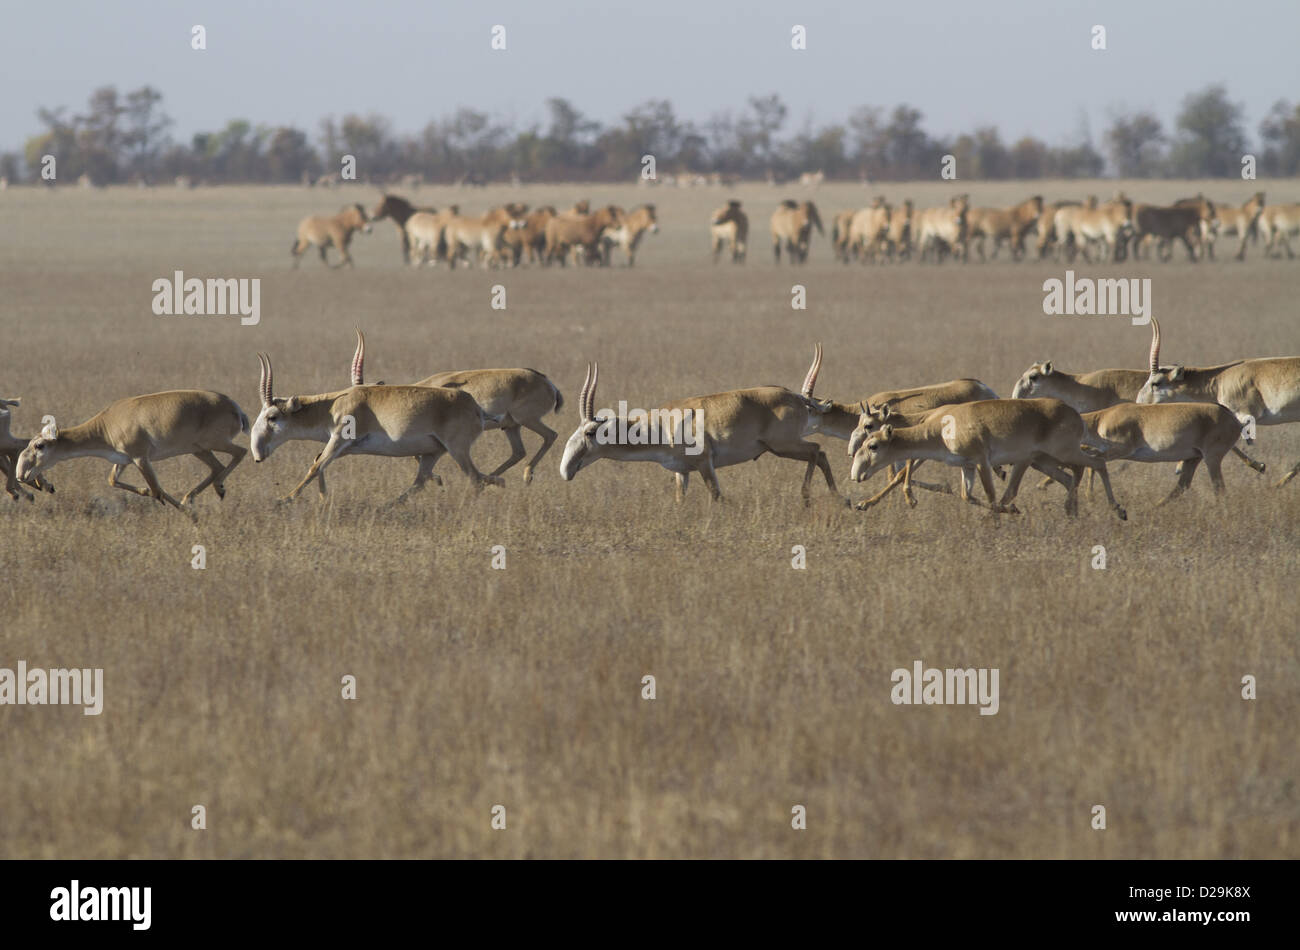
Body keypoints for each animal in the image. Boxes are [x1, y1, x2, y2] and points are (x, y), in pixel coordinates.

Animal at [15, 390, 249, 512]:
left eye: (39, 445)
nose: (21, 474)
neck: (107, 423)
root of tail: (234, 406)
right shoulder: (123, 460)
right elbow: (114, 481)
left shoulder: (140, 458)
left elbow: (157, 490)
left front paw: (190, 516)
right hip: (199, 449)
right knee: (217, 467)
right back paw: (196, 496)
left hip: (215, 442)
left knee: (241, 452)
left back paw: (212, 490)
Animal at [250, 349, 503, 503]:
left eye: (272, 416)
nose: (257, 454)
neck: (335, 404)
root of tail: (475, 407)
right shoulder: (348, 448)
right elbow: (319, 462)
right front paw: (323, 499)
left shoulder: (339, 440)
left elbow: (315, 466)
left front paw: (284, 499)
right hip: (434, 451)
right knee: (422, 481)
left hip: (457, 450)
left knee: (474, 478)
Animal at [558, 354, 841, 503]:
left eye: (589, 432)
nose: (566, 470)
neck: (661, 424)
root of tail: (796, 397)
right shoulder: (682, 472)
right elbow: (680, 499)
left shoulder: (706, 463)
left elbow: (717, 495)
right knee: (820, 453)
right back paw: (841, 500)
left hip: (783, 446)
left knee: (817, 450)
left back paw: (811, 498)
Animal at [850, 398, 1127, 520]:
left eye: (873, 444)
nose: (855, 474)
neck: (940, 426)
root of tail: (1076, 415)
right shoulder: (966, 466)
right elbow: (967, 495)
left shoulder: (981, 461)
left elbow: (992, 495)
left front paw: (1004, 514)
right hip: (1045, 460)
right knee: (1071, 477)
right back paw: (1072, 512)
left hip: (1063, 452)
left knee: (1096, 463)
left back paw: (1118, 509)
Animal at [1137, 319, 1300, 487]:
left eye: (1156, 383)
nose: (1139, 402)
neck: (1219, 381)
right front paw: (1261, 466)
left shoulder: (1243, 417)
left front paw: (1180, 466)